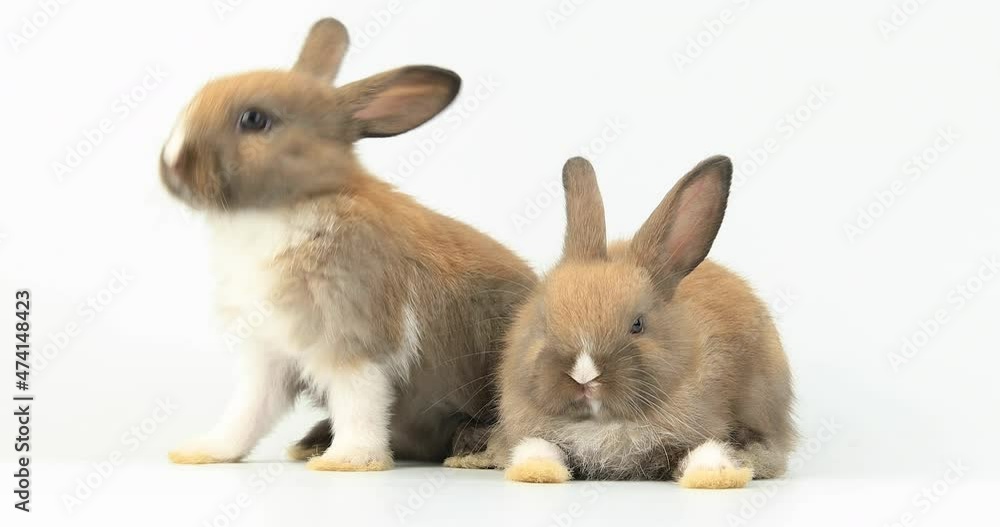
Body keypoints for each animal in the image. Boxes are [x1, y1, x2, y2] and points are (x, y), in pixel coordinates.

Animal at [160, 18, 535, 471]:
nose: (171, 164)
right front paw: (203, 451)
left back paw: (474, 452)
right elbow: (248, 412)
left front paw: (348, 461)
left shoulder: (356, 335)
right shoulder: (270, 352)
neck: (288, 207)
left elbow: (360, 400)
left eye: (254, 119)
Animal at [446, 156, 794, 489]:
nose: (584, 375)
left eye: (638, 324)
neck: (601, 425)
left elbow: (704, 451)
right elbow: (542, 448)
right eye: (544, 323)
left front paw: (716, 477)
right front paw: (536, 472)